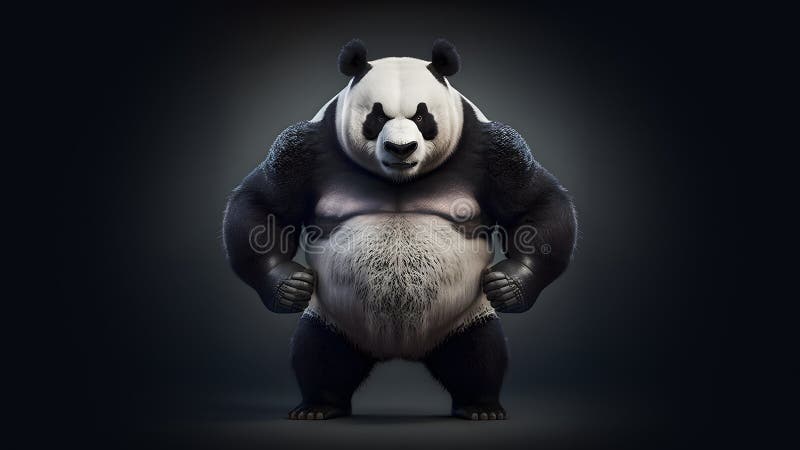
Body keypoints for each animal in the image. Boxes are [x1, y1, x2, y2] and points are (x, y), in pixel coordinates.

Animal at [223, 39, 577, 421]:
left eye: (422, 117)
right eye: (377, 117)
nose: (401, 148)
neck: (399, 177)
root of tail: (399, 350)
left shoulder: (490, 149)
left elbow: (535, 203)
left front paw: (510, 284)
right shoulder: (307, 148)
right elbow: (265, 206)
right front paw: (288, 284)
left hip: (465, 315)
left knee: (479, 353)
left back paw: (480, 405)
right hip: (334, 316)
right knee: (319, 352)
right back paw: (318, 405)